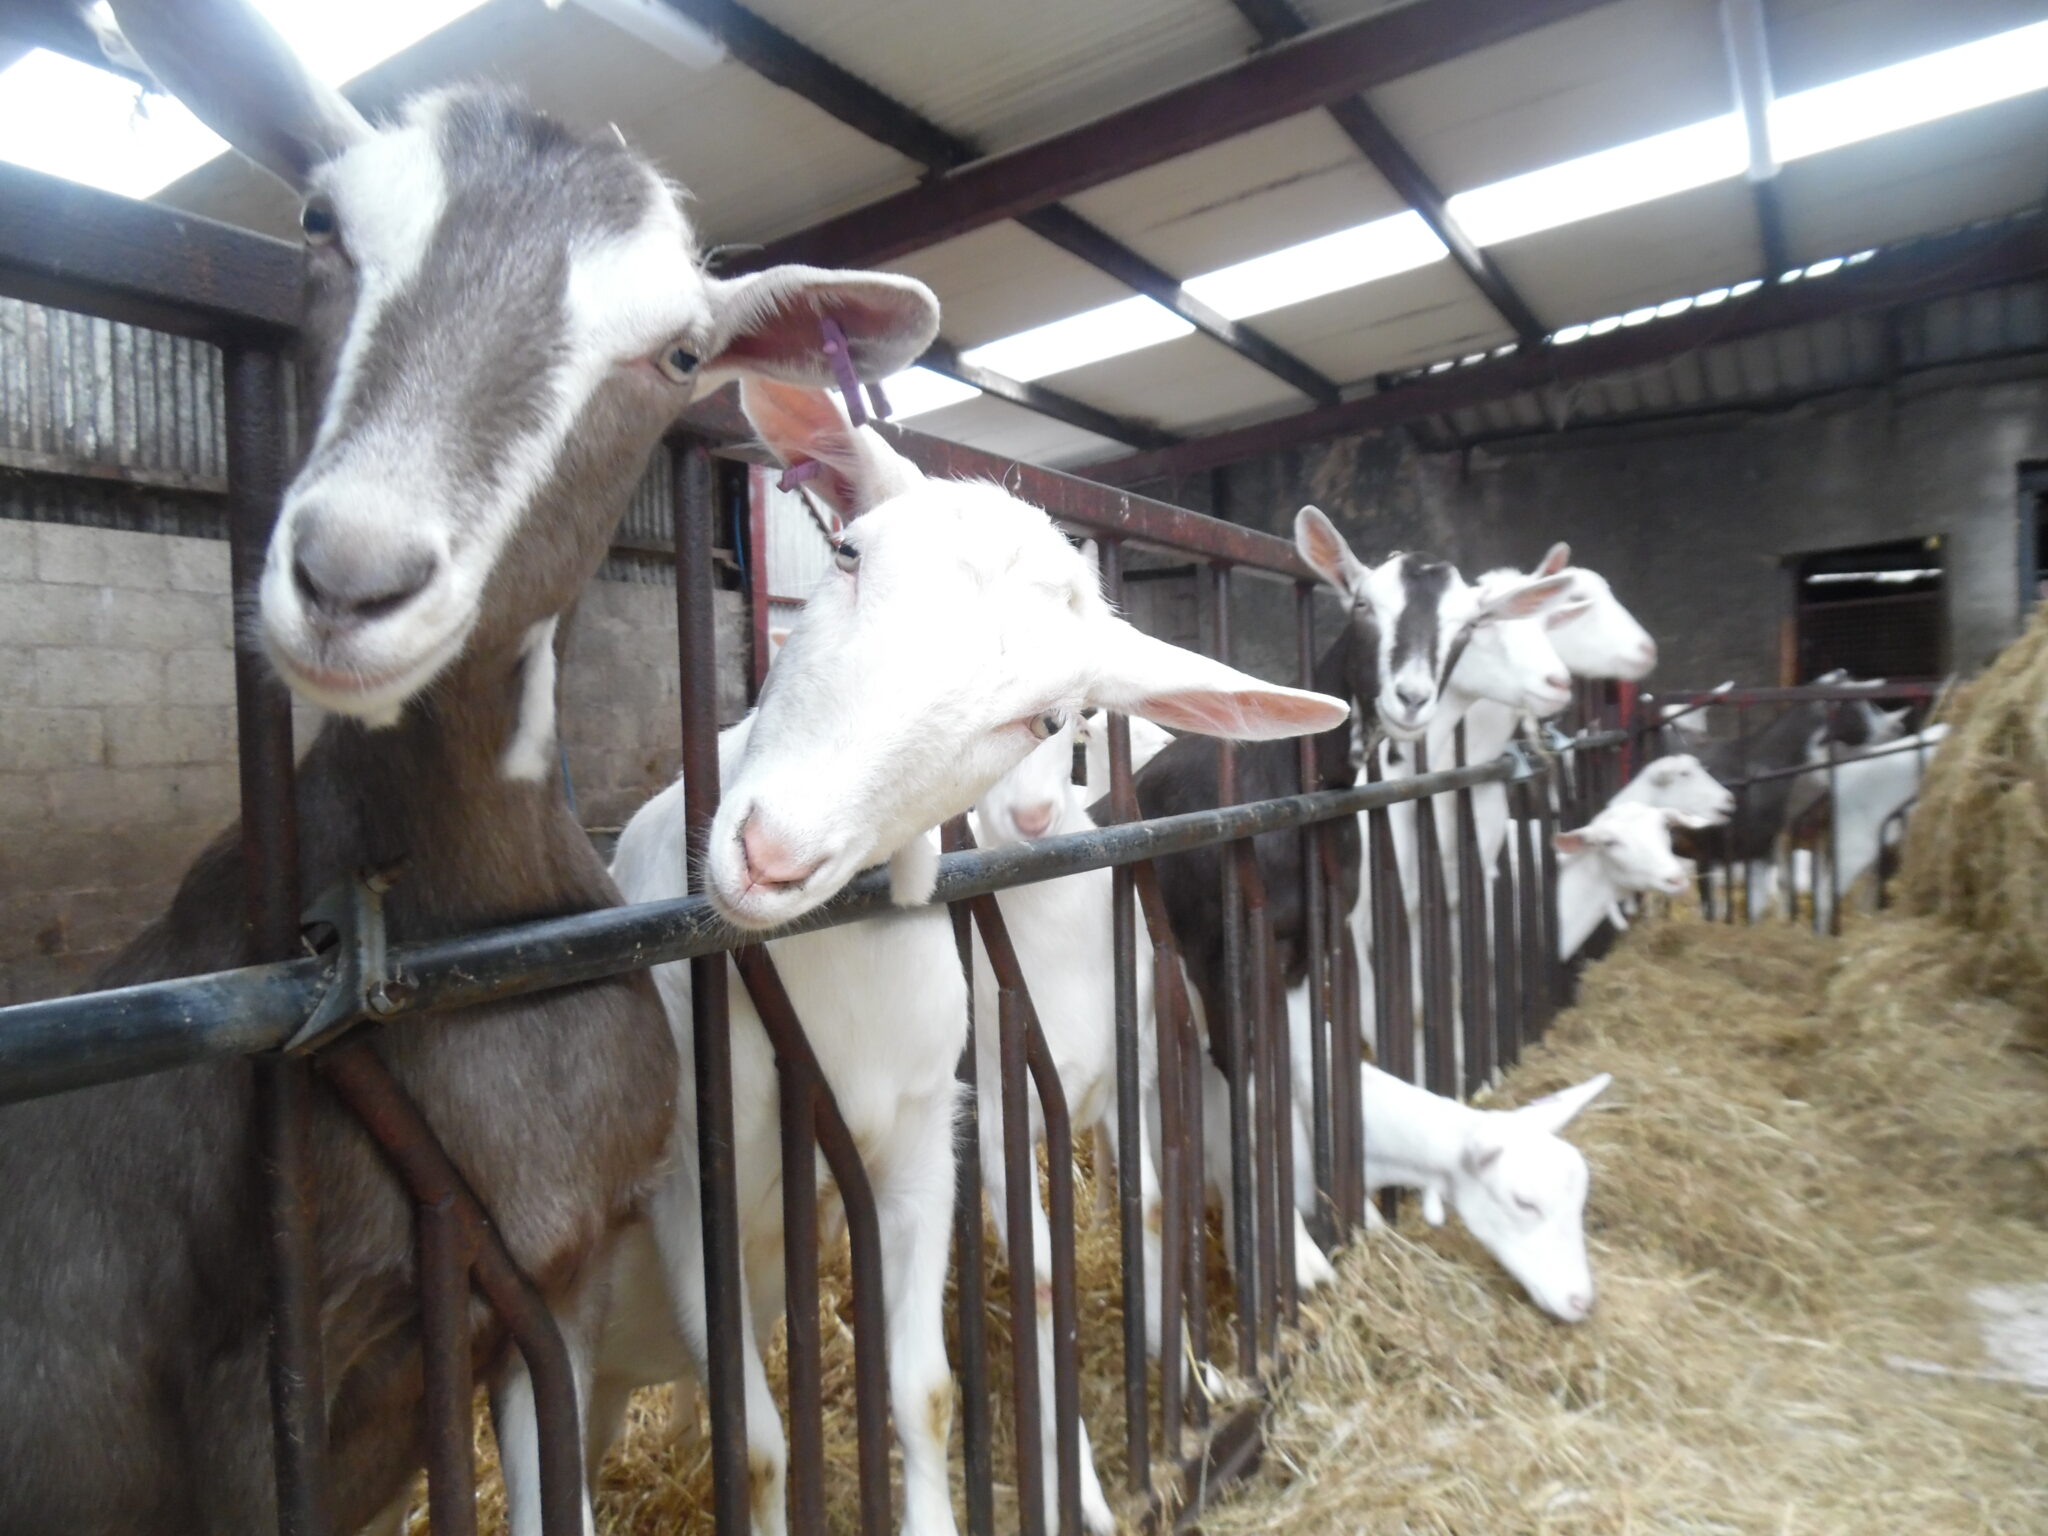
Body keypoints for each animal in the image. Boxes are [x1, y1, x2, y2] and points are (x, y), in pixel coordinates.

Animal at [0, 6, 943, 1531]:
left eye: (678, 355)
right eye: (320, 220)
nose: (351, 575)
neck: (476, 927)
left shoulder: (549, 1286)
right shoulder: (248, 1380)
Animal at [539, 382, 1348, 1536]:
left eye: (1046, 718)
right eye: (846, 554)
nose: (770, 853)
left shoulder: (928, 1145)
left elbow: (924, 1389)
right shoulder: (692, 1183)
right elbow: (758, 1447)